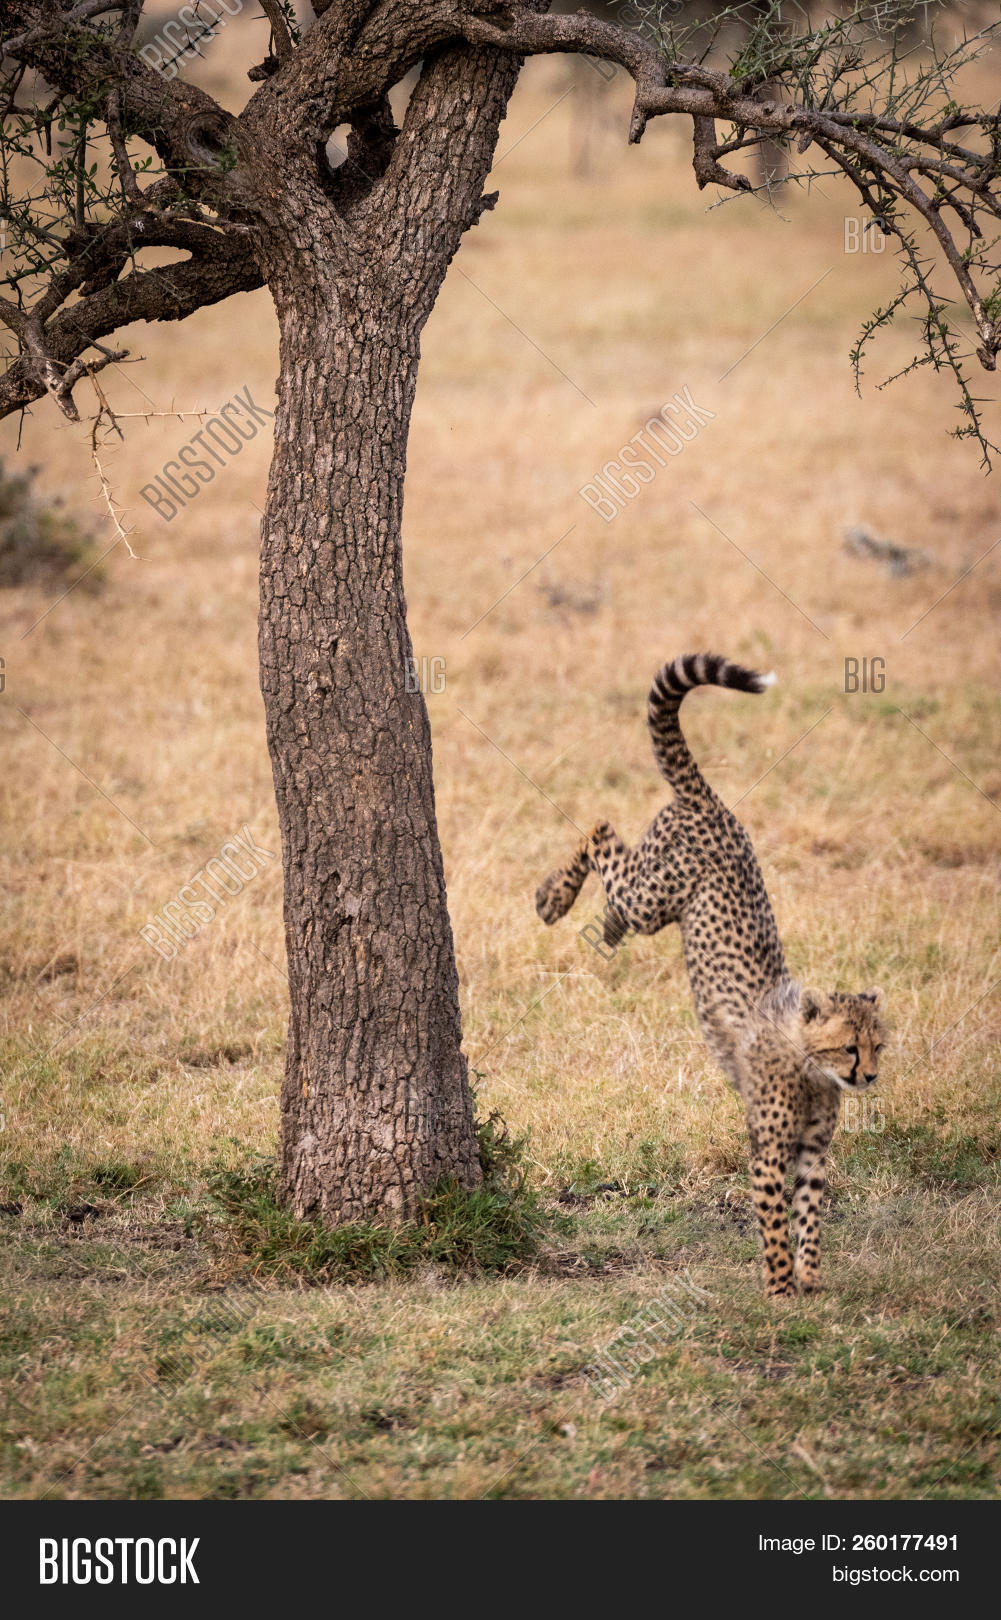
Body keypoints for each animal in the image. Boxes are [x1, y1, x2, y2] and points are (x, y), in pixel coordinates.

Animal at [535, 652, 885, 1298]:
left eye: (879, 1046)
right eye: (850, 1047)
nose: (870, 1078)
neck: (810, 1064)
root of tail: (709, 801)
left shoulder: (812, 1153)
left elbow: (810, 1216)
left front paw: (812, 1281)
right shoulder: (770, 1152)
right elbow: (776, 1221)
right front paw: (780, 1289)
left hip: (657, 896)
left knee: (613, 861)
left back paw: (603, 923)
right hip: (654, 895)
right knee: (599, 830)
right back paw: (552, 898)